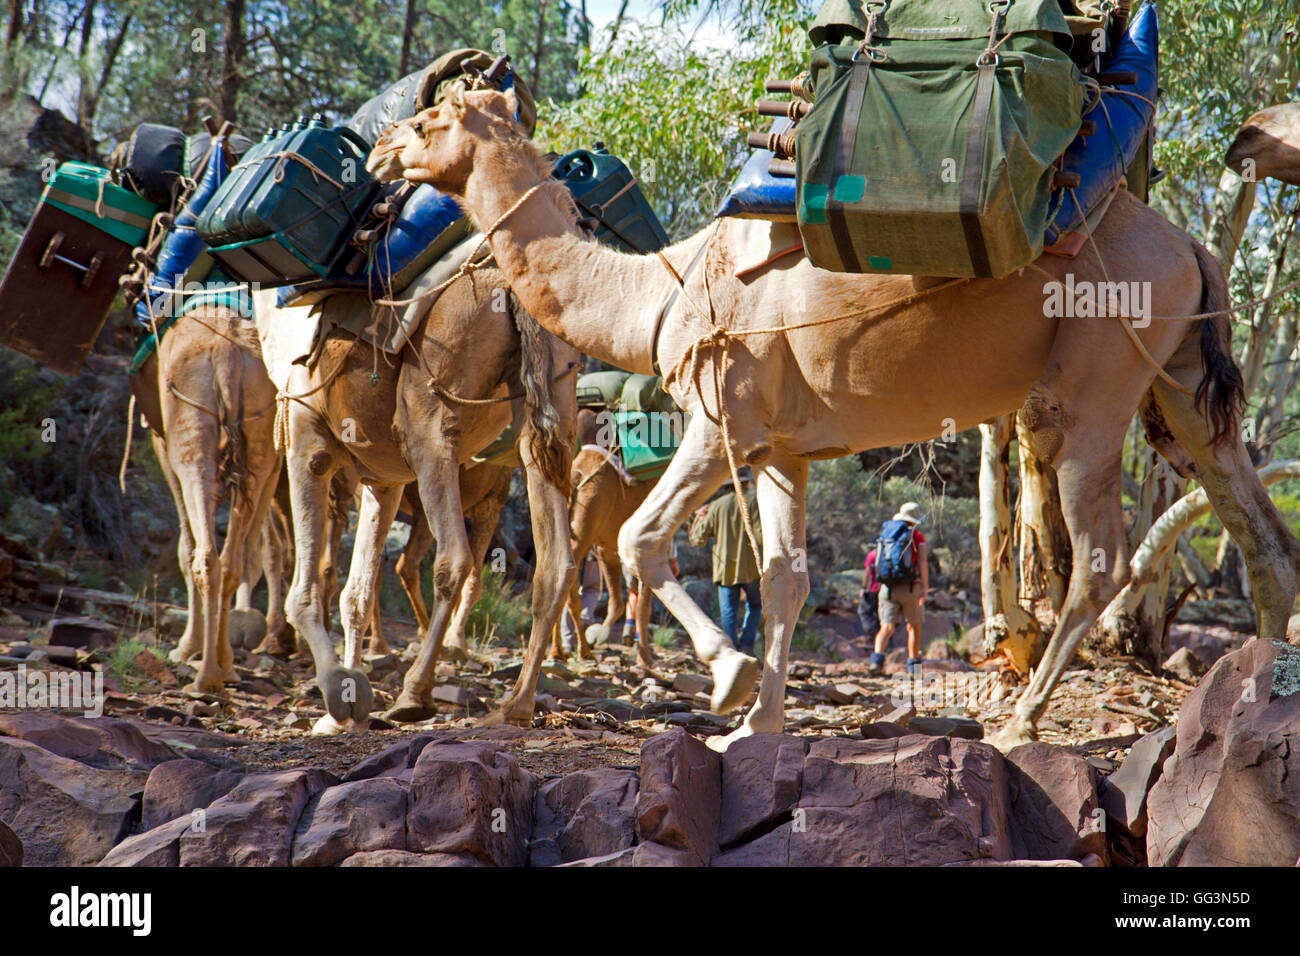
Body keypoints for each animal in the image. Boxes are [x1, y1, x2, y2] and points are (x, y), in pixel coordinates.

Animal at [253, 257, 578, 735]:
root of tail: (508, 289)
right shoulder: (383, 480)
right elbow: (357, 592)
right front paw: (344, 707)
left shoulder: (306, 438)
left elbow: (305, 591)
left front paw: (337, 693)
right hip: (547, 421)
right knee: (555, 564)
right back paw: (513, 706)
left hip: (429, 425)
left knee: (455, 557)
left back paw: (414, 695)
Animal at [368, 87, 1300, 752]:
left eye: (435, 115)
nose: (380, 146)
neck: (661, 290)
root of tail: (1194, 249)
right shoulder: (784, 448)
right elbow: (785, 576)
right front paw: (757, 724)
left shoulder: (722, 421)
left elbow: (640, 537)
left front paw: (732, 679)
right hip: (1182, 391)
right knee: (1260, 533)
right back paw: (1253, 709)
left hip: (1098, 383)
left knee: (1103, 559)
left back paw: (1020, 723)